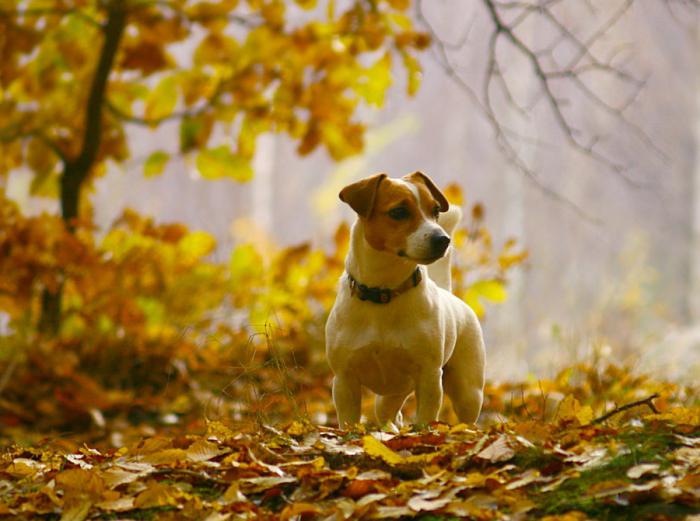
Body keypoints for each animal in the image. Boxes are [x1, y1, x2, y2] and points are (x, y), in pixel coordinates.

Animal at [324, 171, 484, 426]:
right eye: (399, 212)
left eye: (435, 210)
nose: (443, 240)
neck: (384, 291)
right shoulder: (344, 380)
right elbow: (348, 420)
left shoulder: (429, 377)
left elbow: (425, 420)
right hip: (390, 396)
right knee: (389, 414)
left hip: (467, 390)